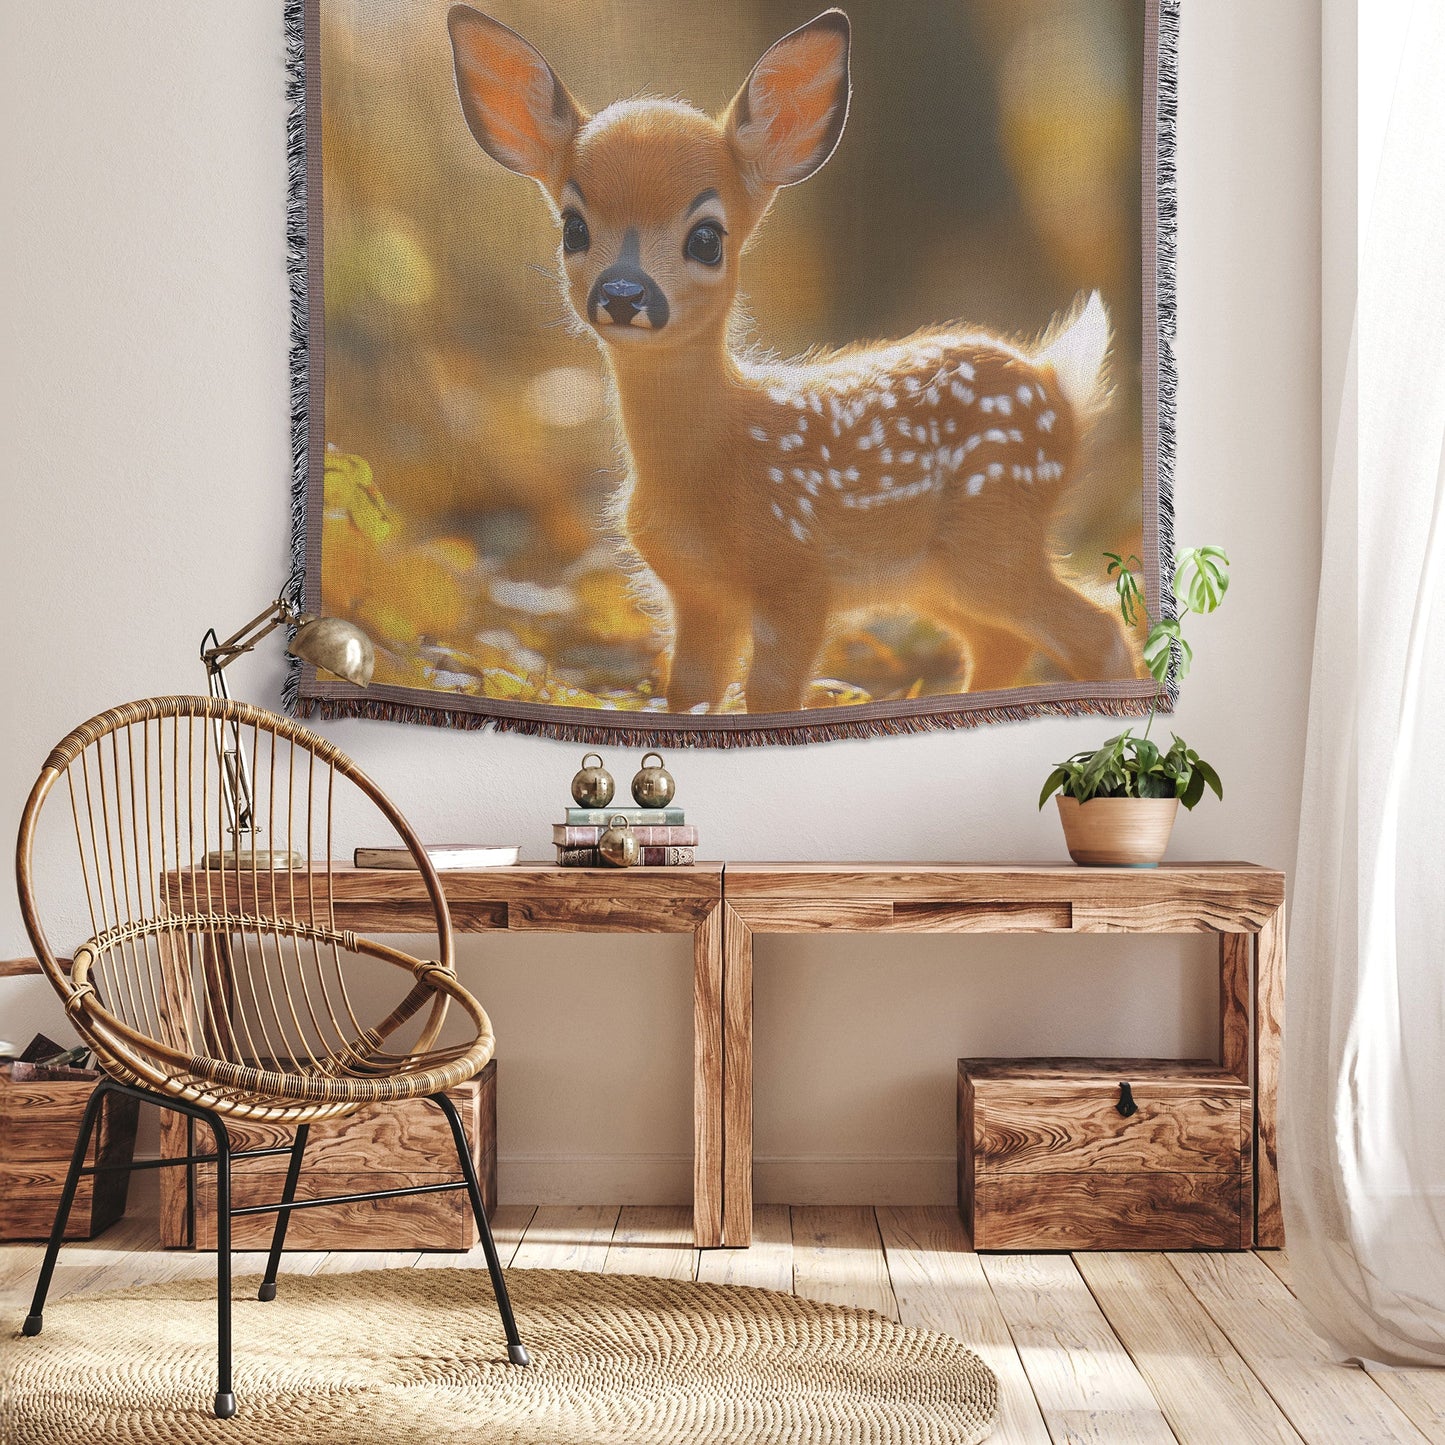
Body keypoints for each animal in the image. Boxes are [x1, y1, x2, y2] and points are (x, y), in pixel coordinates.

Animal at [447, 6, 1134, 714]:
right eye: (573, 228)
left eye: (707, 237)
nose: (623, 293)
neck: (712, 455)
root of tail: (1059, 383)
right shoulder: (696, 590)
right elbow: (689, 693)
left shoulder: (799, 570)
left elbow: (770, 694)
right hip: (936, 572)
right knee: (1003, 643)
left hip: (992, 534)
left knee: (1100, 628)